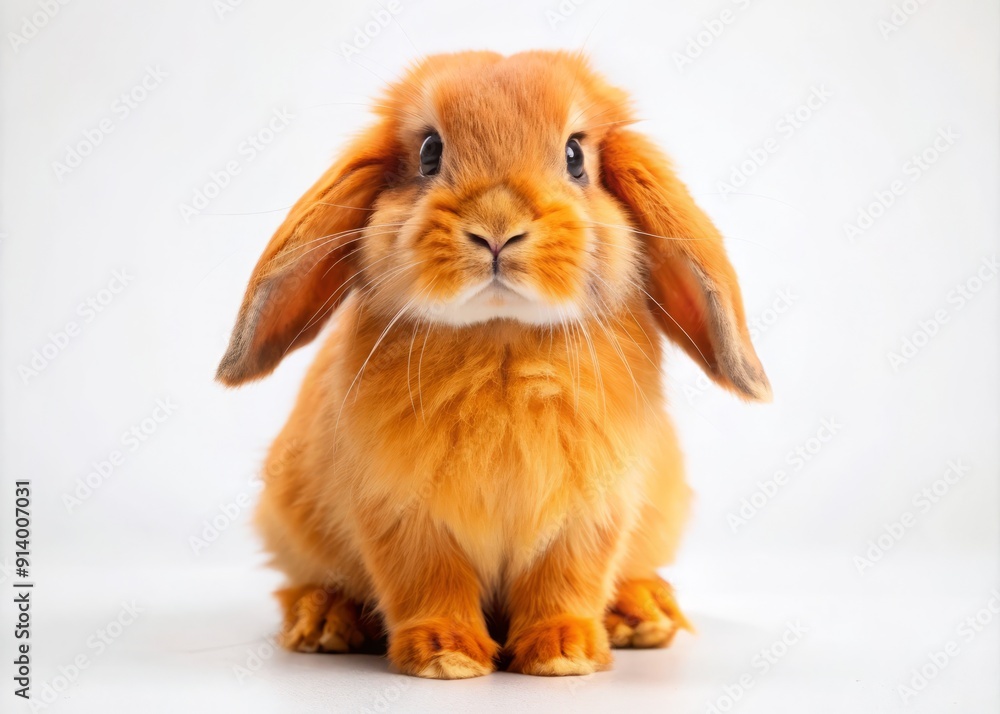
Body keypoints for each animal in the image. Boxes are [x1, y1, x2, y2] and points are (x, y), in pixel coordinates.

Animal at [217, 50, 770, 679]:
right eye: (429, 151)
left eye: (576, 156)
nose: (497, 227)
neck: (502, 339)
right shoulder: (400, 514)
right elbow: (429, 581)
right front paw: (445, 654)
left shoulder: (589, 515)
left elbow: (566, 579)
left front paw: (563, 652)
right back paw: (326, 620)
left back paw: (642, 613)